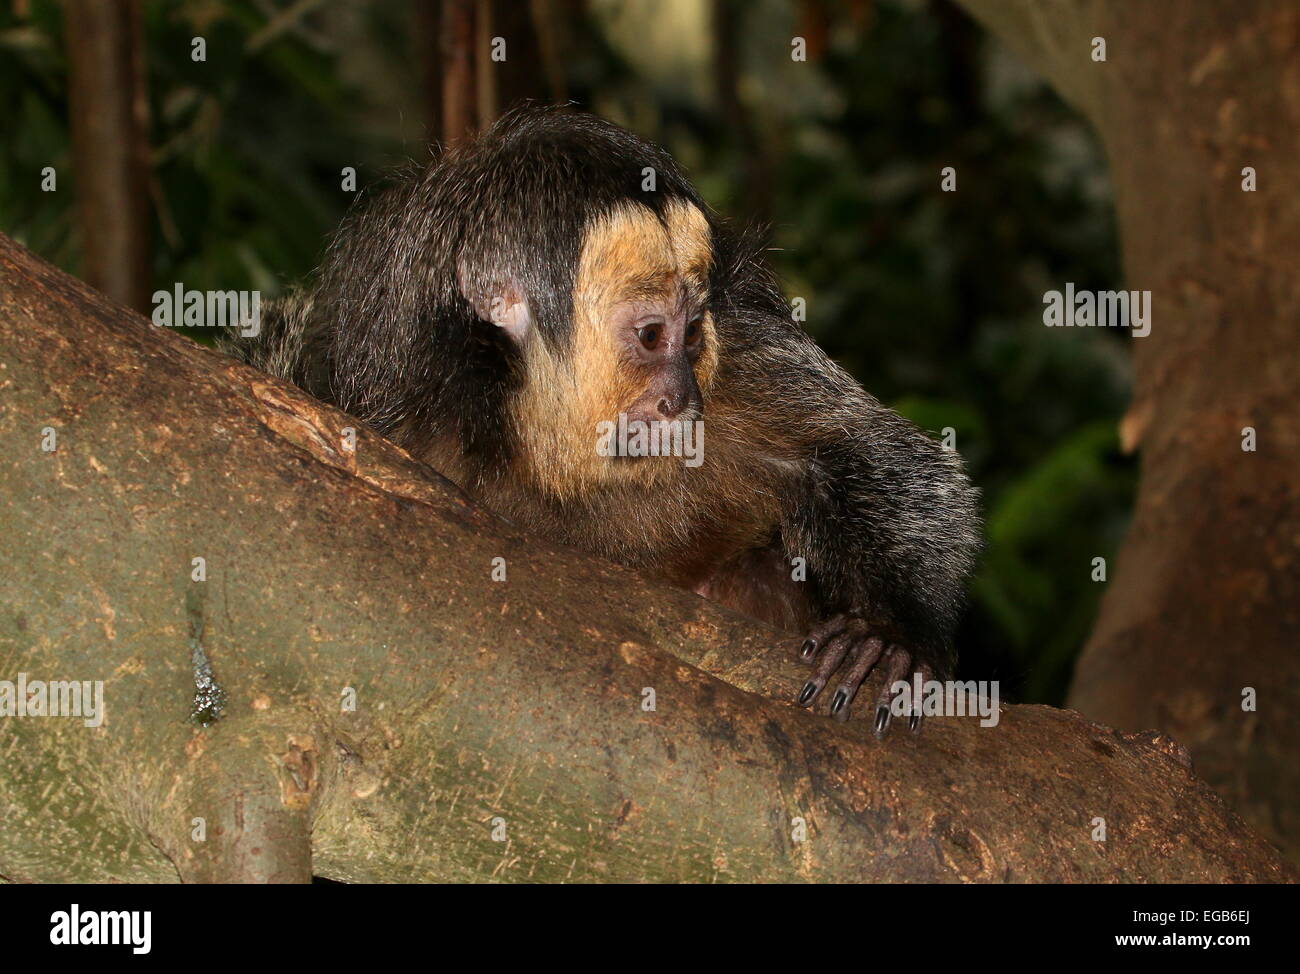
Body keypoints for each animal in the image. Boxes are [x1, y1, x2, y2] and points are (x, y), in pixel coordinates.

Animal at [221, 105, 981, 735]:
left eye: (694, 333)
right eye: (651, 336)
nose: (681, 398)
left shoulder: (747, 363)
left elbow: (870, 452)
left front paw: (896, 634)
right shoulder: (381, 393)